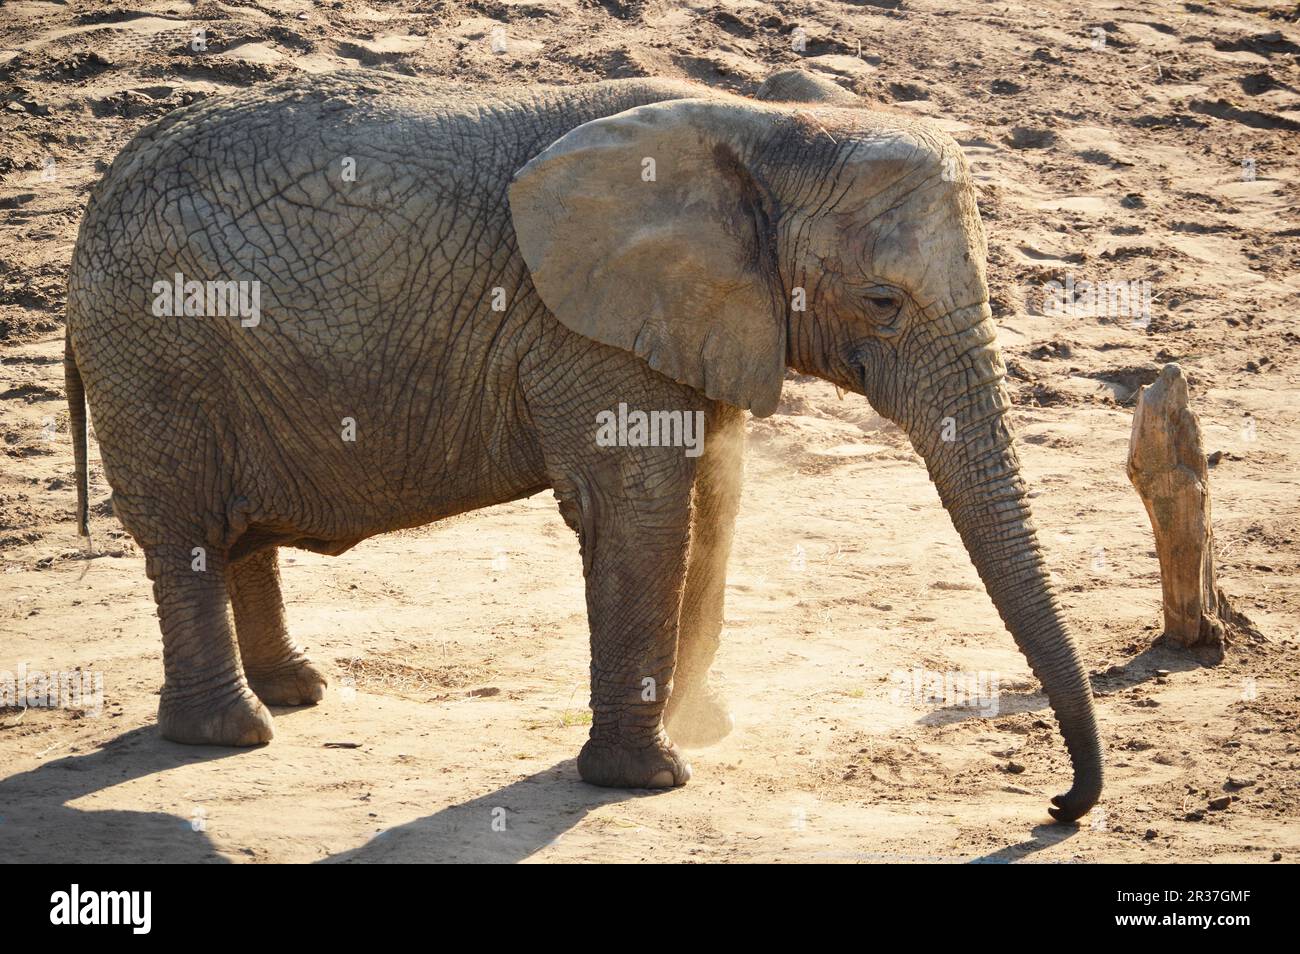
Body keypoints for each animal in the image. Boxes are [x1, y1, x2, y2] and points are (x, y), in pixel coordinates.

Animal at [64, 68, 1103, 822]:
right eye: (884, 303)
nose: (1058, 804)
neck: (765, 129)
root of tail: (93, 201)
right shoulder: (584, 328)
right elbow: (640, 508)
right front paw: (649, 779)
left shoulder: (707, 312)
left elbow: (714, 498)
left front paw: (701, 729)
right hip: (154, 349)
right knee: (186, 529)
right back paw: (232, 732)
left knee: (234, 529)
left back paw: (296, 692)